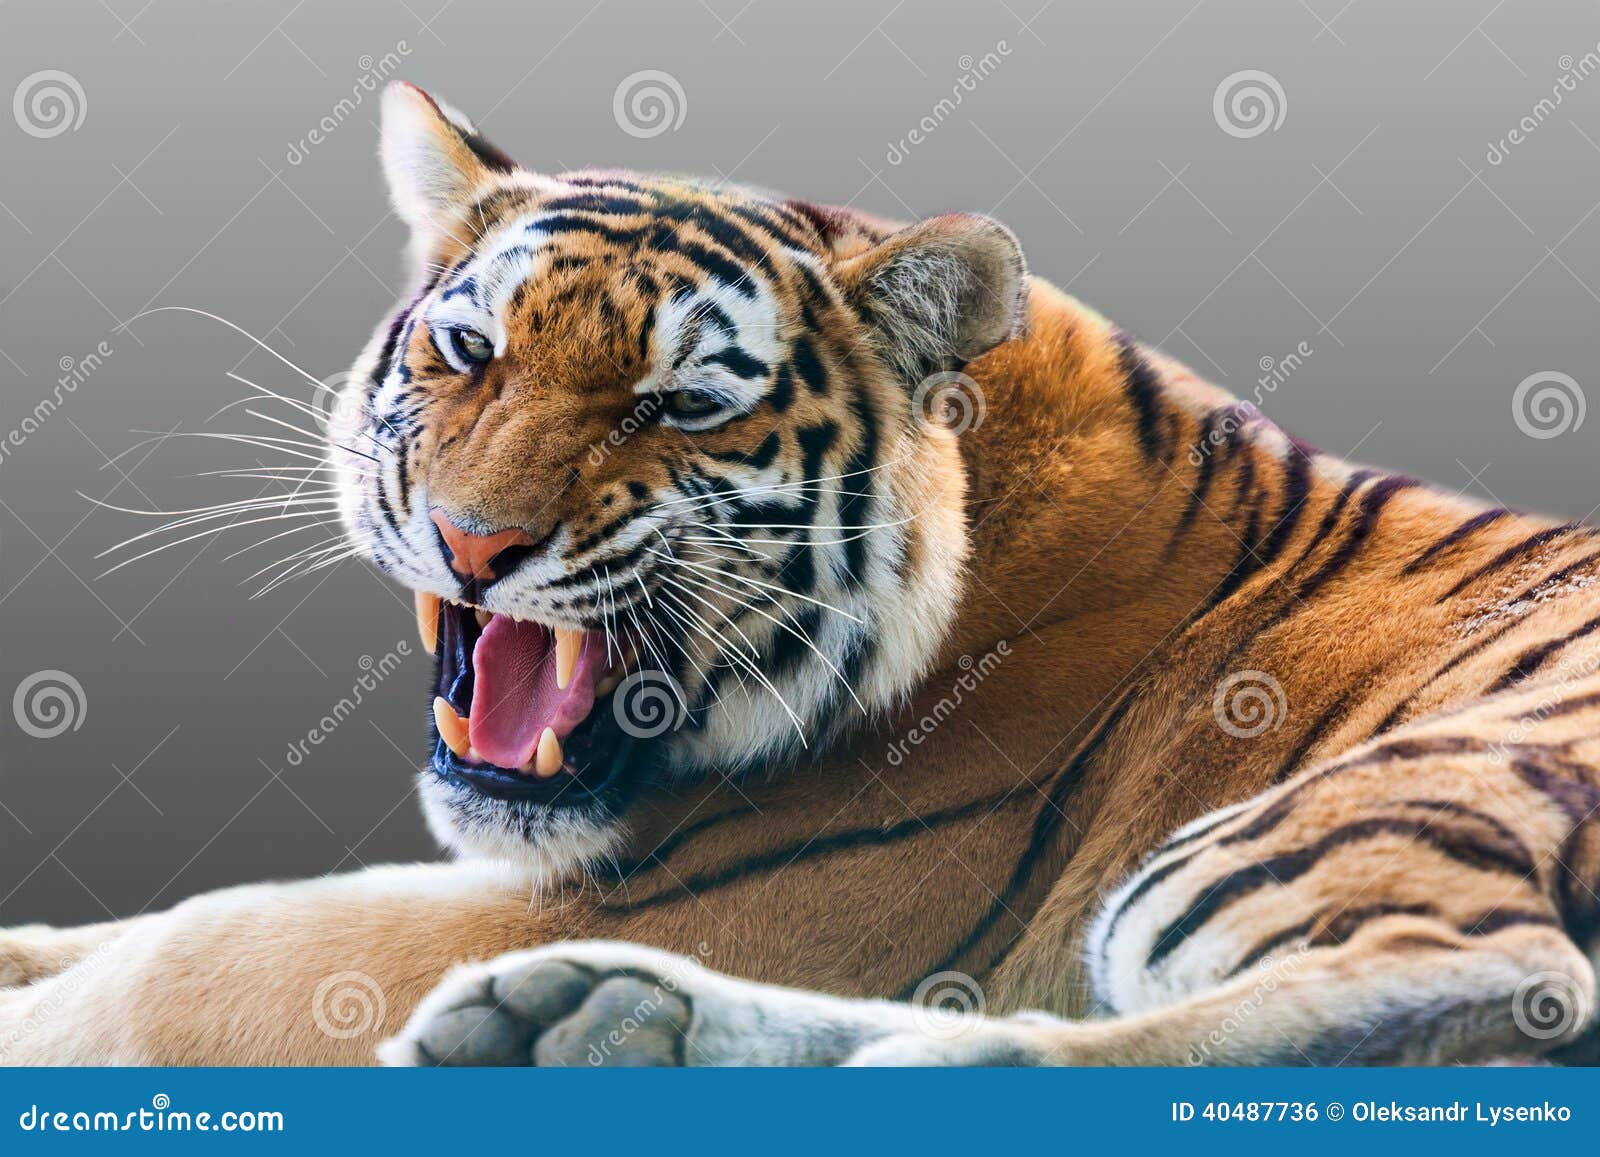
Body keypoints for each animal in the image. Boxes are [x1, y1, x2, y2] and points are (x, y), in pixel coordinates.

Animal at [3, 79, 1598, 1067]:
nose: (472, 540)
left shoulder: (709, 891)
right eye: (469, 349)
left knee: (1495, 981)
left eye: (680, 404)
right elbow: (122, 931)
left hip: (1350, 808)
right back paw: (595, 1028)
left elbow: (197, 953)